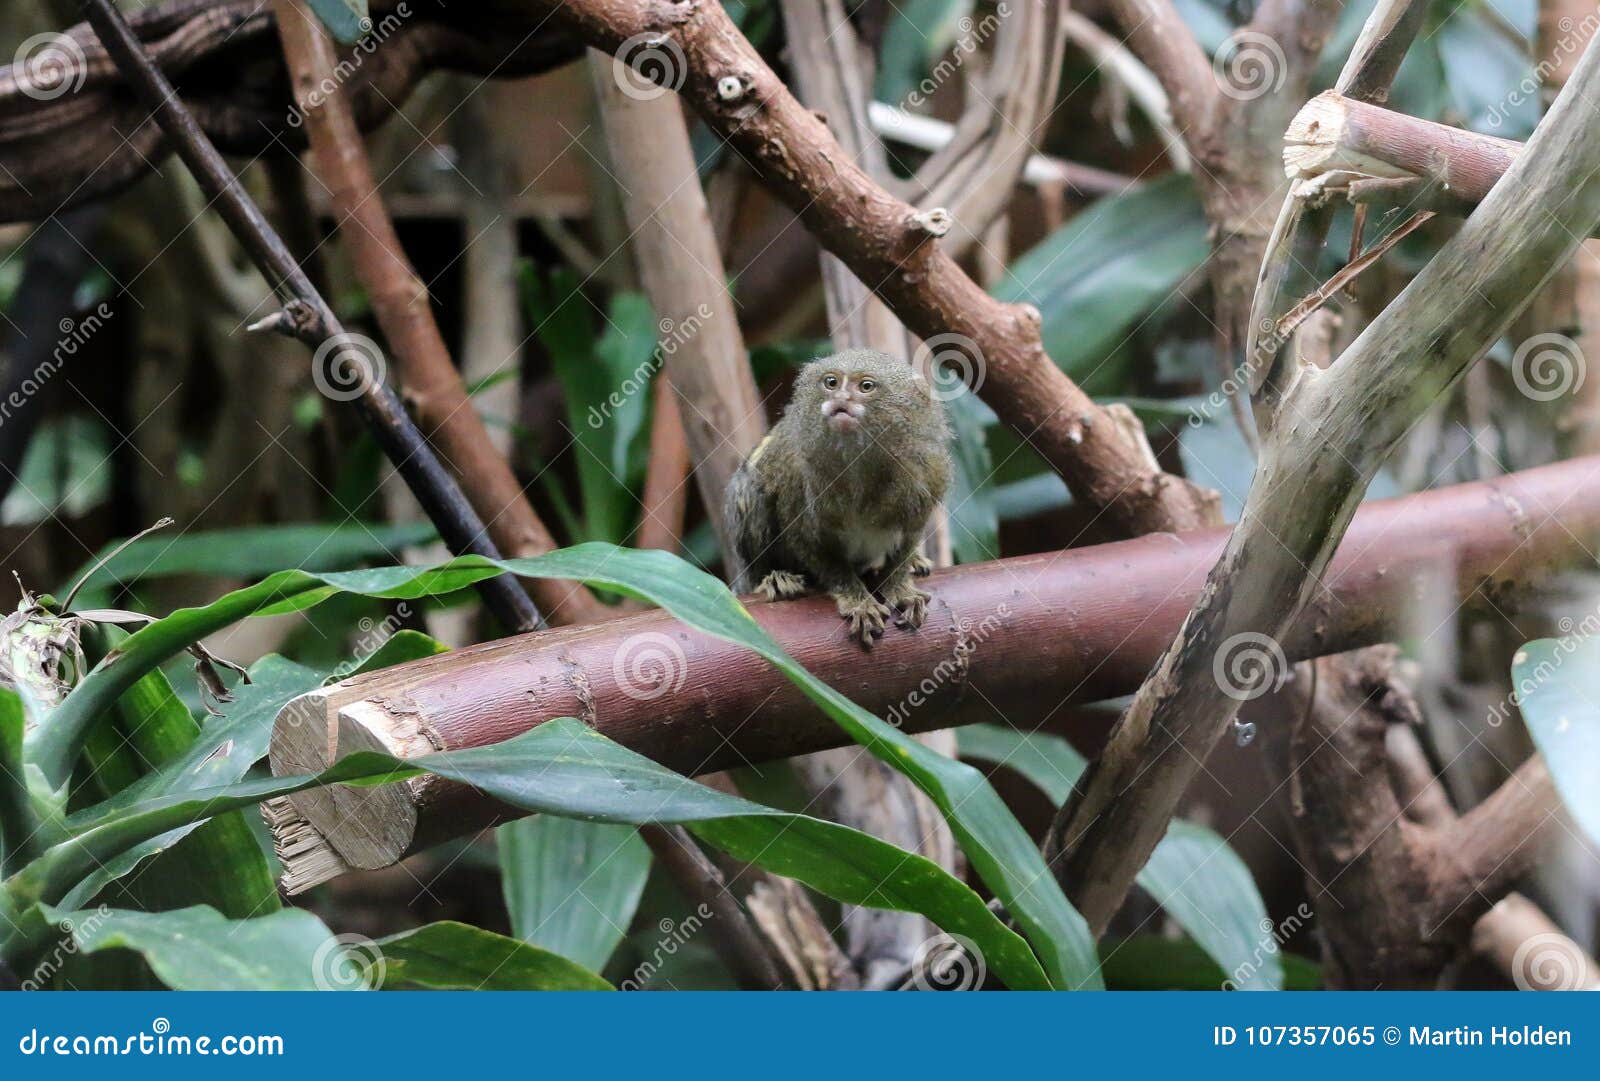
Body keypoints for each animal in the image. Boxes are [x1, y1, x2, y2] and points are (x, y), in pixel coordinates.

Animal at [725, 348, 951, 647]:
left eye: (866, 386)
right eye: (831, 383)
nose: (841, 399)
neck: (857, 461)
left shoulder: (927, 473)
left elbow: (908, 537)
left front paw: (900, 586)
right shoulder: (795, 475)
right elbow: (813, 545)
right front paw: (857, 601)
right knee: (751, 492)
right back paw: (774, 577)